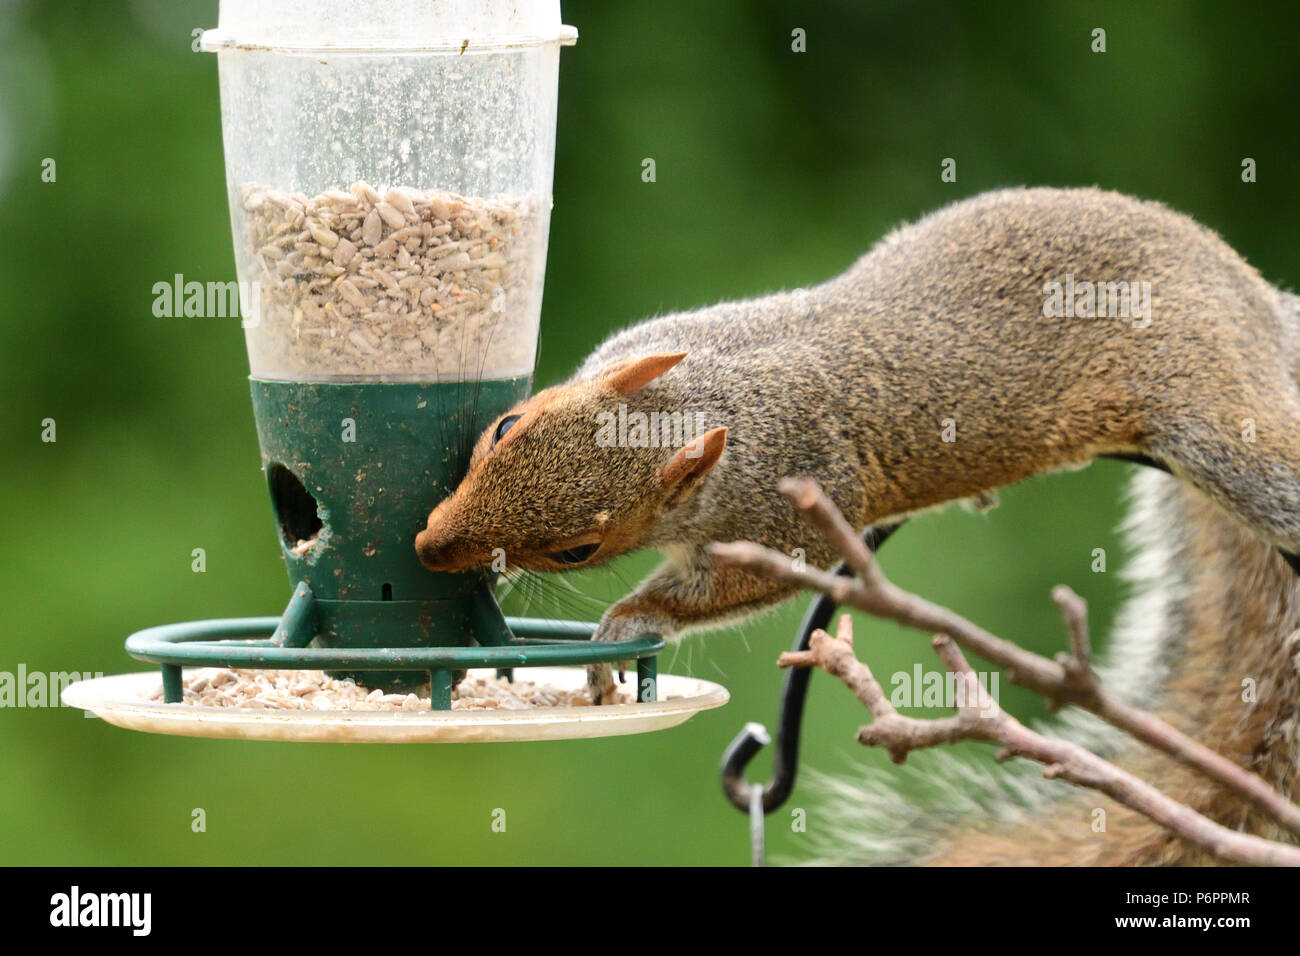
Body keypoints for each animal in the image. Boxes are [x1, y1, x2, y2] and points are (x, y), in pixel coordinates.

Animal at [416, 186, 1300, 863]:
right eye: (507, 427)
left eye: (579, 549)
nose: (429, 546)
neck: (720, 402)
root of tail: (1259, 301)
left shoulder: (790, 519)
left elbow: (722, 588)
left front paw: (628, 623)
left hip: (1219, 422)